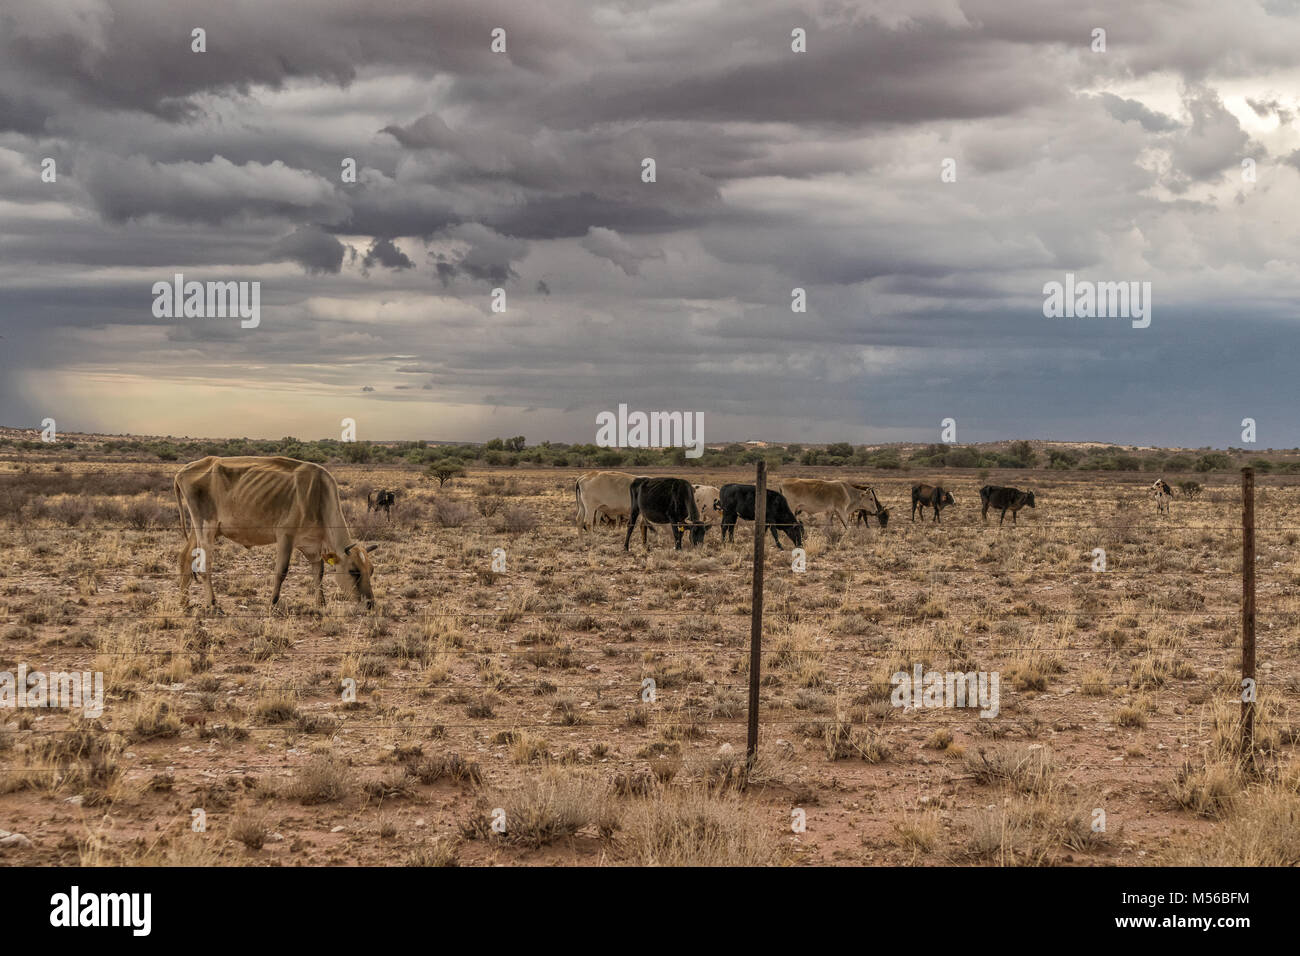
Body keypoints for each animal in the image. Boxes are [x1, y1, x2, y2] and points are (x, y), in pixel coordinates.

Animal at [174, 456, 378, 610]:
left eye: (371, 570)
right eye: (353, 571)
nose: (370, 603)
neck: (319, 495)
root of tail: (184, 470)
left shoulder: (312, 546)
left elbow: (318, 572)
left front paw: (321, 603)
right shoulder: (285, 536)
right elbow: (281, 571)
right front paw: (272, 603)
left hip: (200, 529)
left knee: (185, 557)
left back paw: (184, 602)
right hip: (205, 529)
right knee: (204, 565)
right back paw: (213, 604)